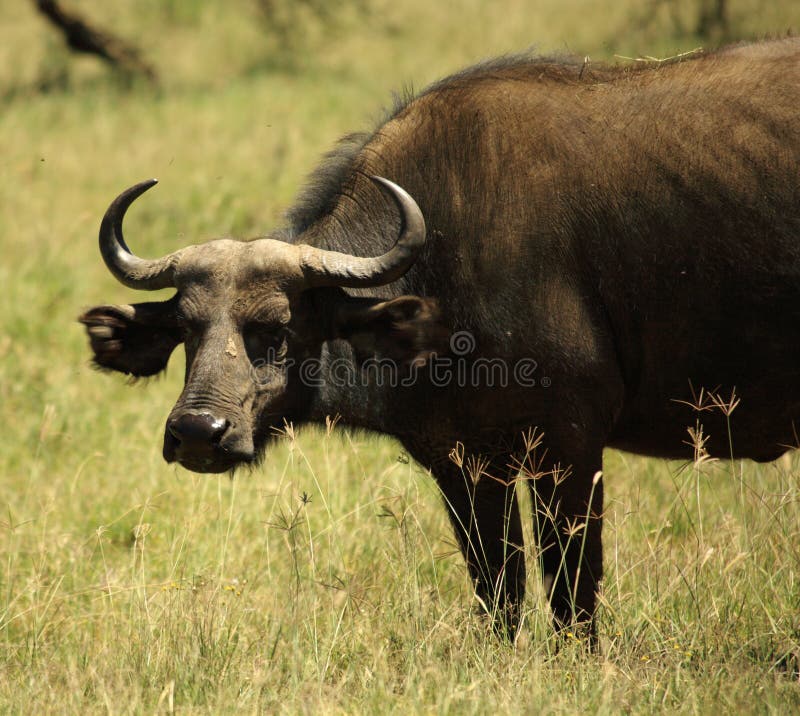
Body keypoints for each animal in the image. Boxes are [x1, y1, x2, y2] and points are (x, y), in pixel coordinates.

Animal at [81, 37, 800, 642]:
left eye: (276, 329)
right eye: (185, 327)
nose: (197, 434)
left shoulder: (570, 450)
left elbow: (571, 587)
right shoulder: (463, 464)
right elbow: (498, 588)